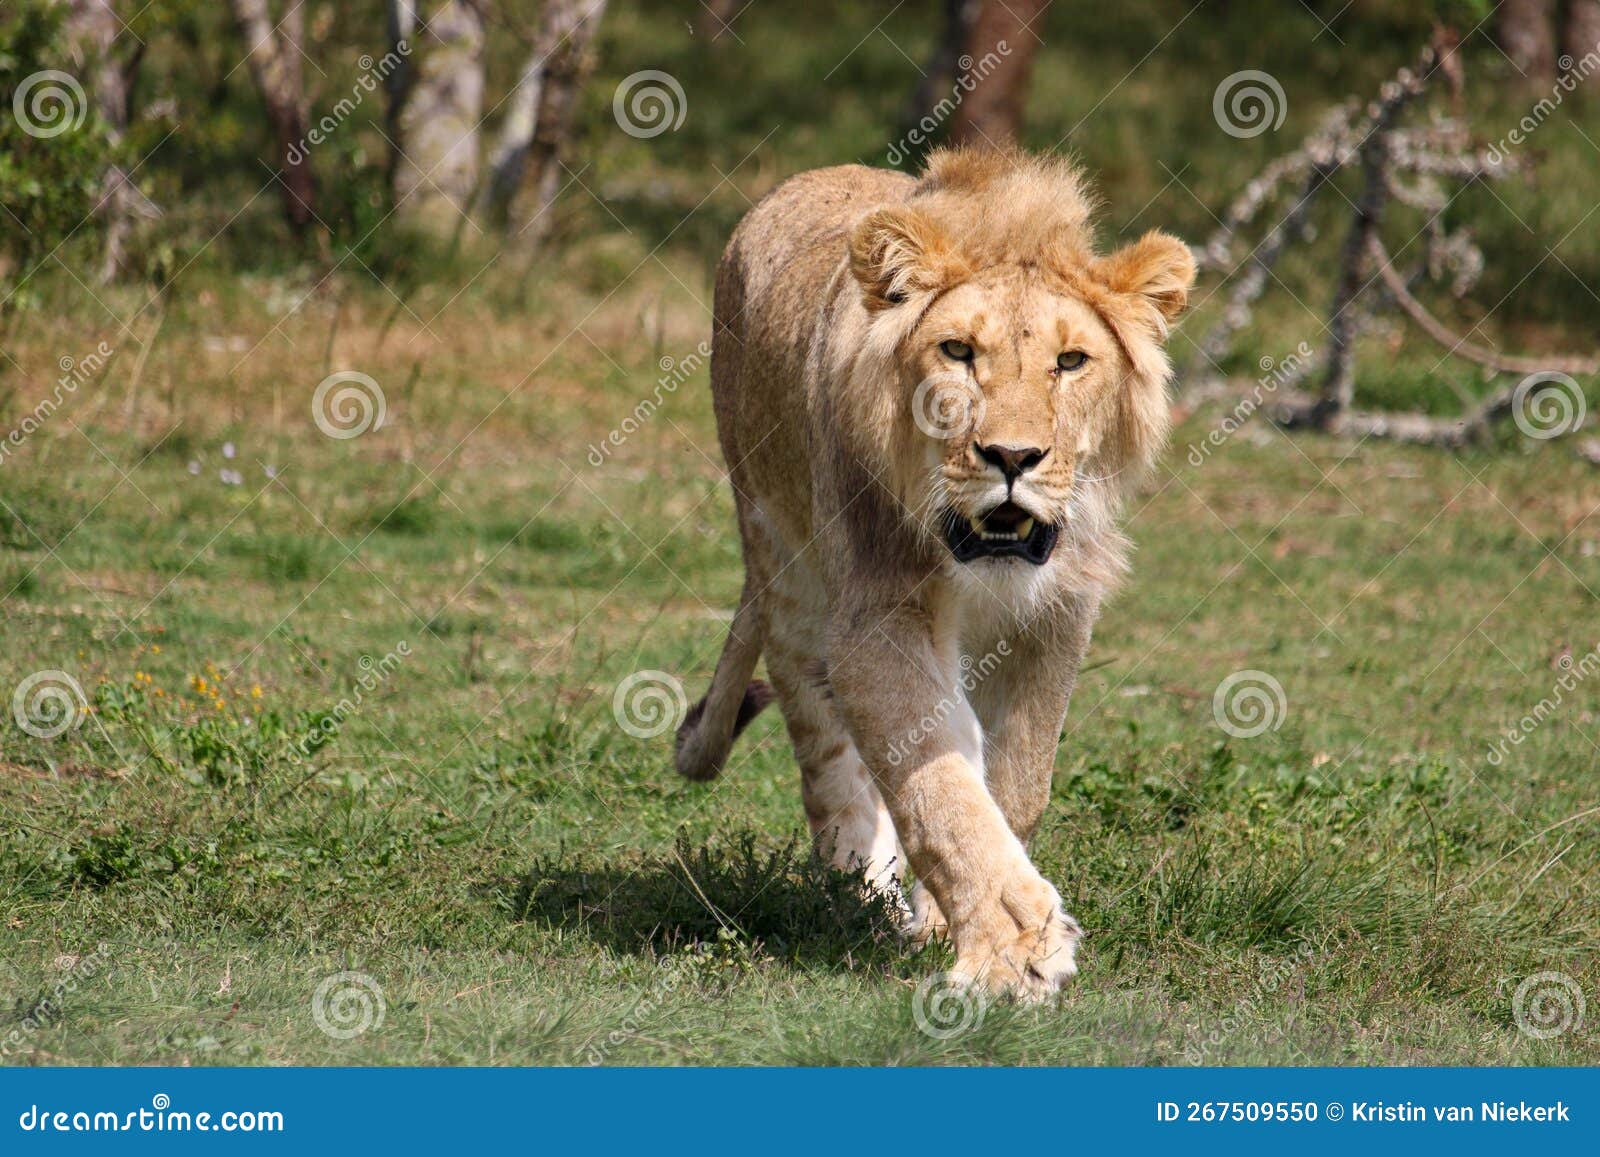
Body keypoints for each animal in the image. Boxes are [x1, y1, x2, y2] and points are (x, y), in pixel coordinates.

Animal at [674, 146, 1194, 999]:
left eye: (1070, 361)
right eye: (957, 352)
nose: (1012, 457)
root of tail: (803, 179)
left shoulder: (1056, 616)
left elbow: (1012, 784)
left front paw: (952, 920)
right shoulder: (879, 613)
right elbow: (940, 788)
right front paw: (1012, 947)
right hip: (778, 554)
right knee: (822, 742)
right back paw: (857, 883)